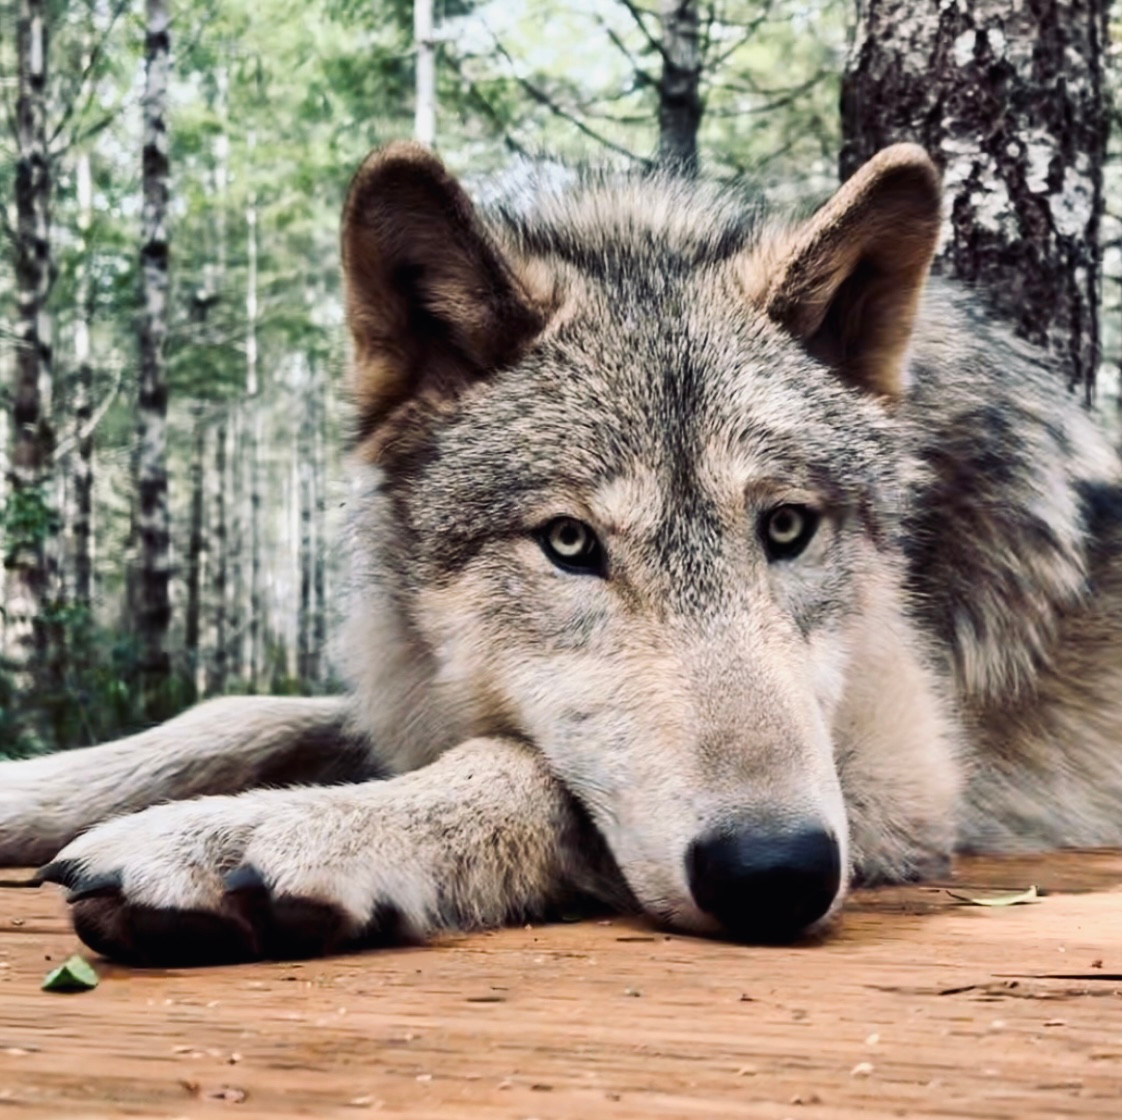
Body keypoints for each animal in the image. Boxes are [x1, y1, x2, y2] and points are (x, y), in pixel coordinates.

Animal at [3, 142, 1122, 966]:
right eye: (570, 543)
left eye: (787, 528)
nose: (778, 872)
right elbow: (238, 714)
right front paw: (34, 791)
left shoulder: (907, 772)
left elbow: (527, 768)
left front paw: (281, 835)